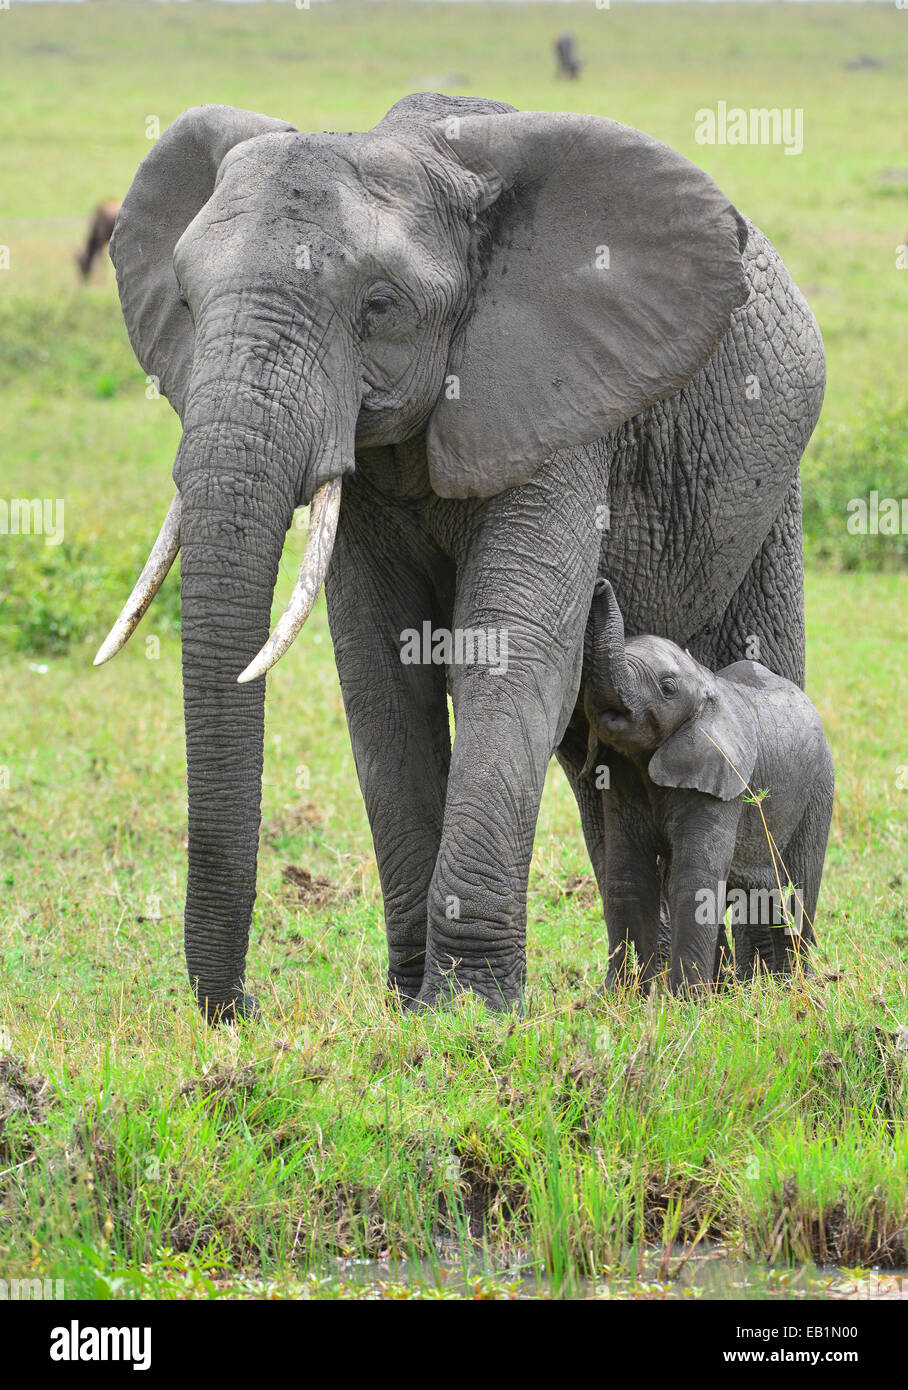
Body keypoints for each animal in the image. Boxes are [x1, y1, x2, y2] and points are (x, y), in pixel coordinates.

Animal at [582, 579, 834, 992]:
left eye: (667, 688)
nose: (601, 584)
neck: (704, 682)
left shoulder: (723, 776)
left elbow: (695, 878)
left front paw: (685, 1001)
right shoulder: (621, 776)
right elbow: (629, 874)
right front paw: (620, 998)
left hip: (817, 790)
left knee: (797, 890)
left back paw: (791, 987)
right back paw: (738, 988)